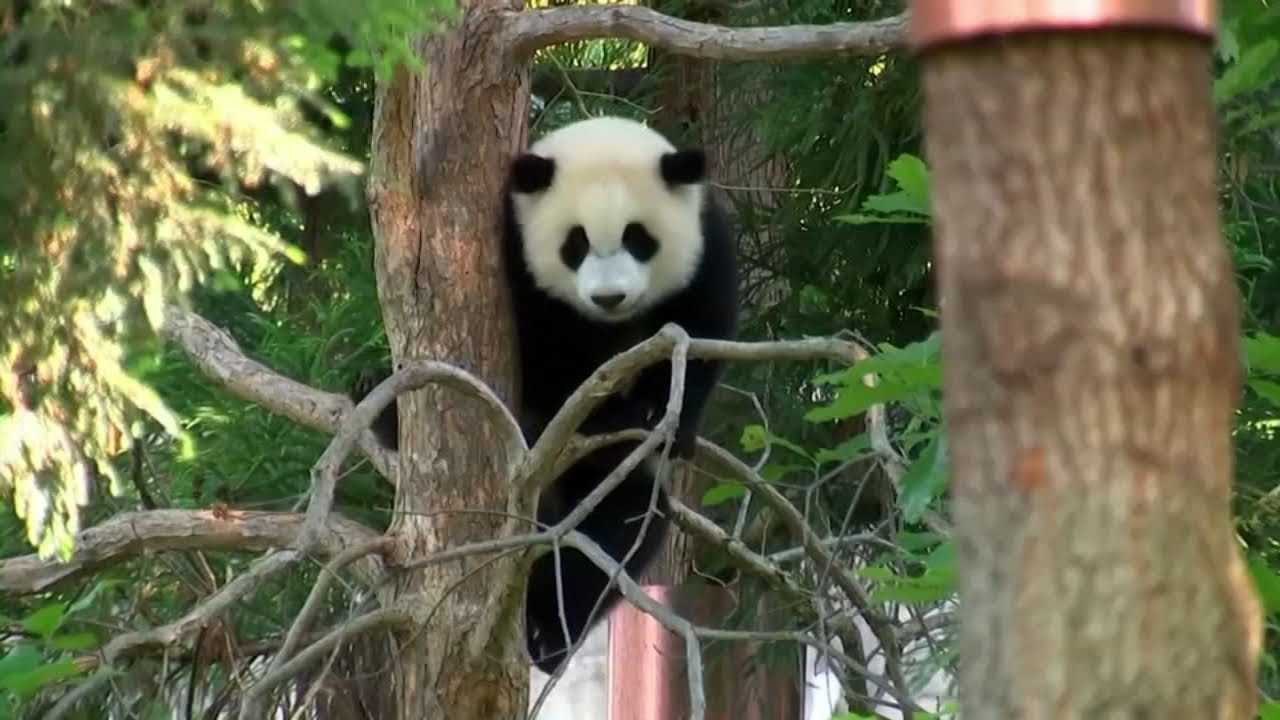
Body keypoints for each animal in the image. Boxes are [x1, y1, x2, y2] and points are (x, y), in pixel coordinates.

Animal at [355, 115, 739, 675]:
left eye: (638, 238)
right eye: (574, 244)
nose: (608, 297)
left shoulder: (706, 251)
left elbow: (701, 336)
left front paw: (653, 418)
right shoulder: (519, 264)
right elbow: (547, 357)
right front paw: (595, 415)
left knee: (613, 533)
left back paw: (550, 632)